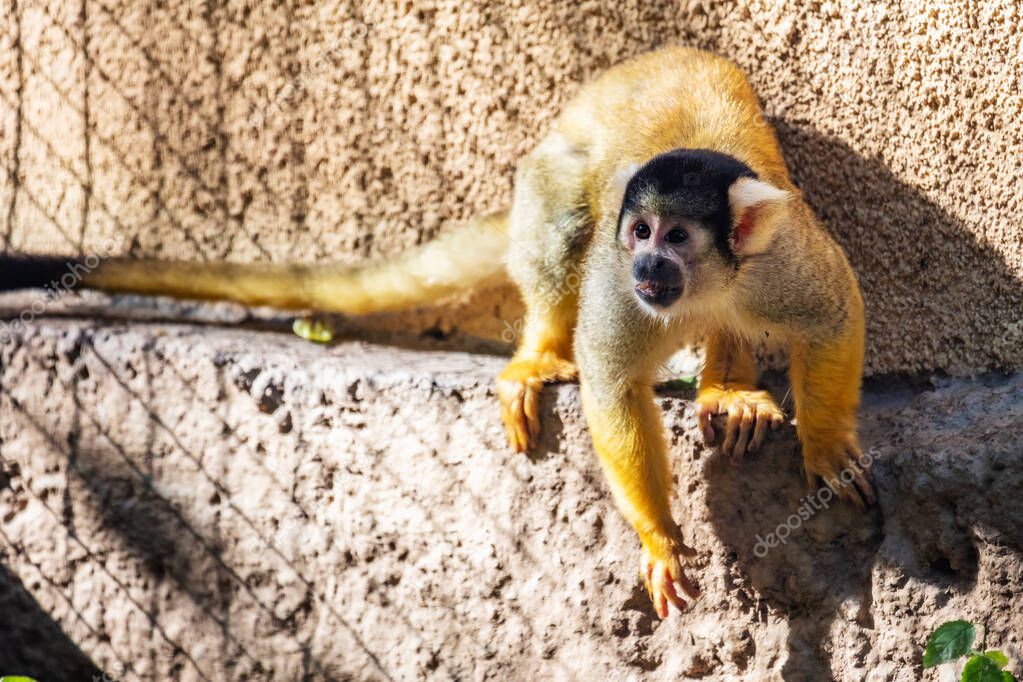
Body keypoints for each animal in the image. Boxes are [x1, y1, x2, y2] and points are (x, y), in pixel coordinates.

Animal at [0, 46, 874, 619]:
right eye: (640, 233)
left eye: (677, 237)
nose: (648, 265)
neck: (704, 283)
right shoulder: (619, 286)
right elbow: (613, 384)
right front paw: (658, 538)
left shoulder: (780, 257)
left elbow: (833, 316)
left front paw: (825, 442)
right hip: (545, 183)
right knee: (564, 220)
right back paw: (538, 354)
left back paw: (727, 385)